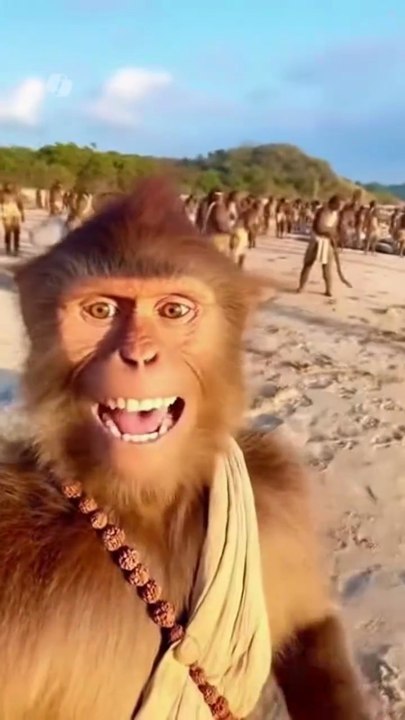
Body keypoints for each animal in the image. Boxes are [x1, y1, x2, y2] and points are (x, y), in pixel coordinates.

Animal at [0, 178, 371, 720]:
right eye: (100, 311)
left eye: (174, 310)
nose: (138, 355)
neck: (148, 505)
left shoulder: (276, 483)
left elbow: (311, 626)